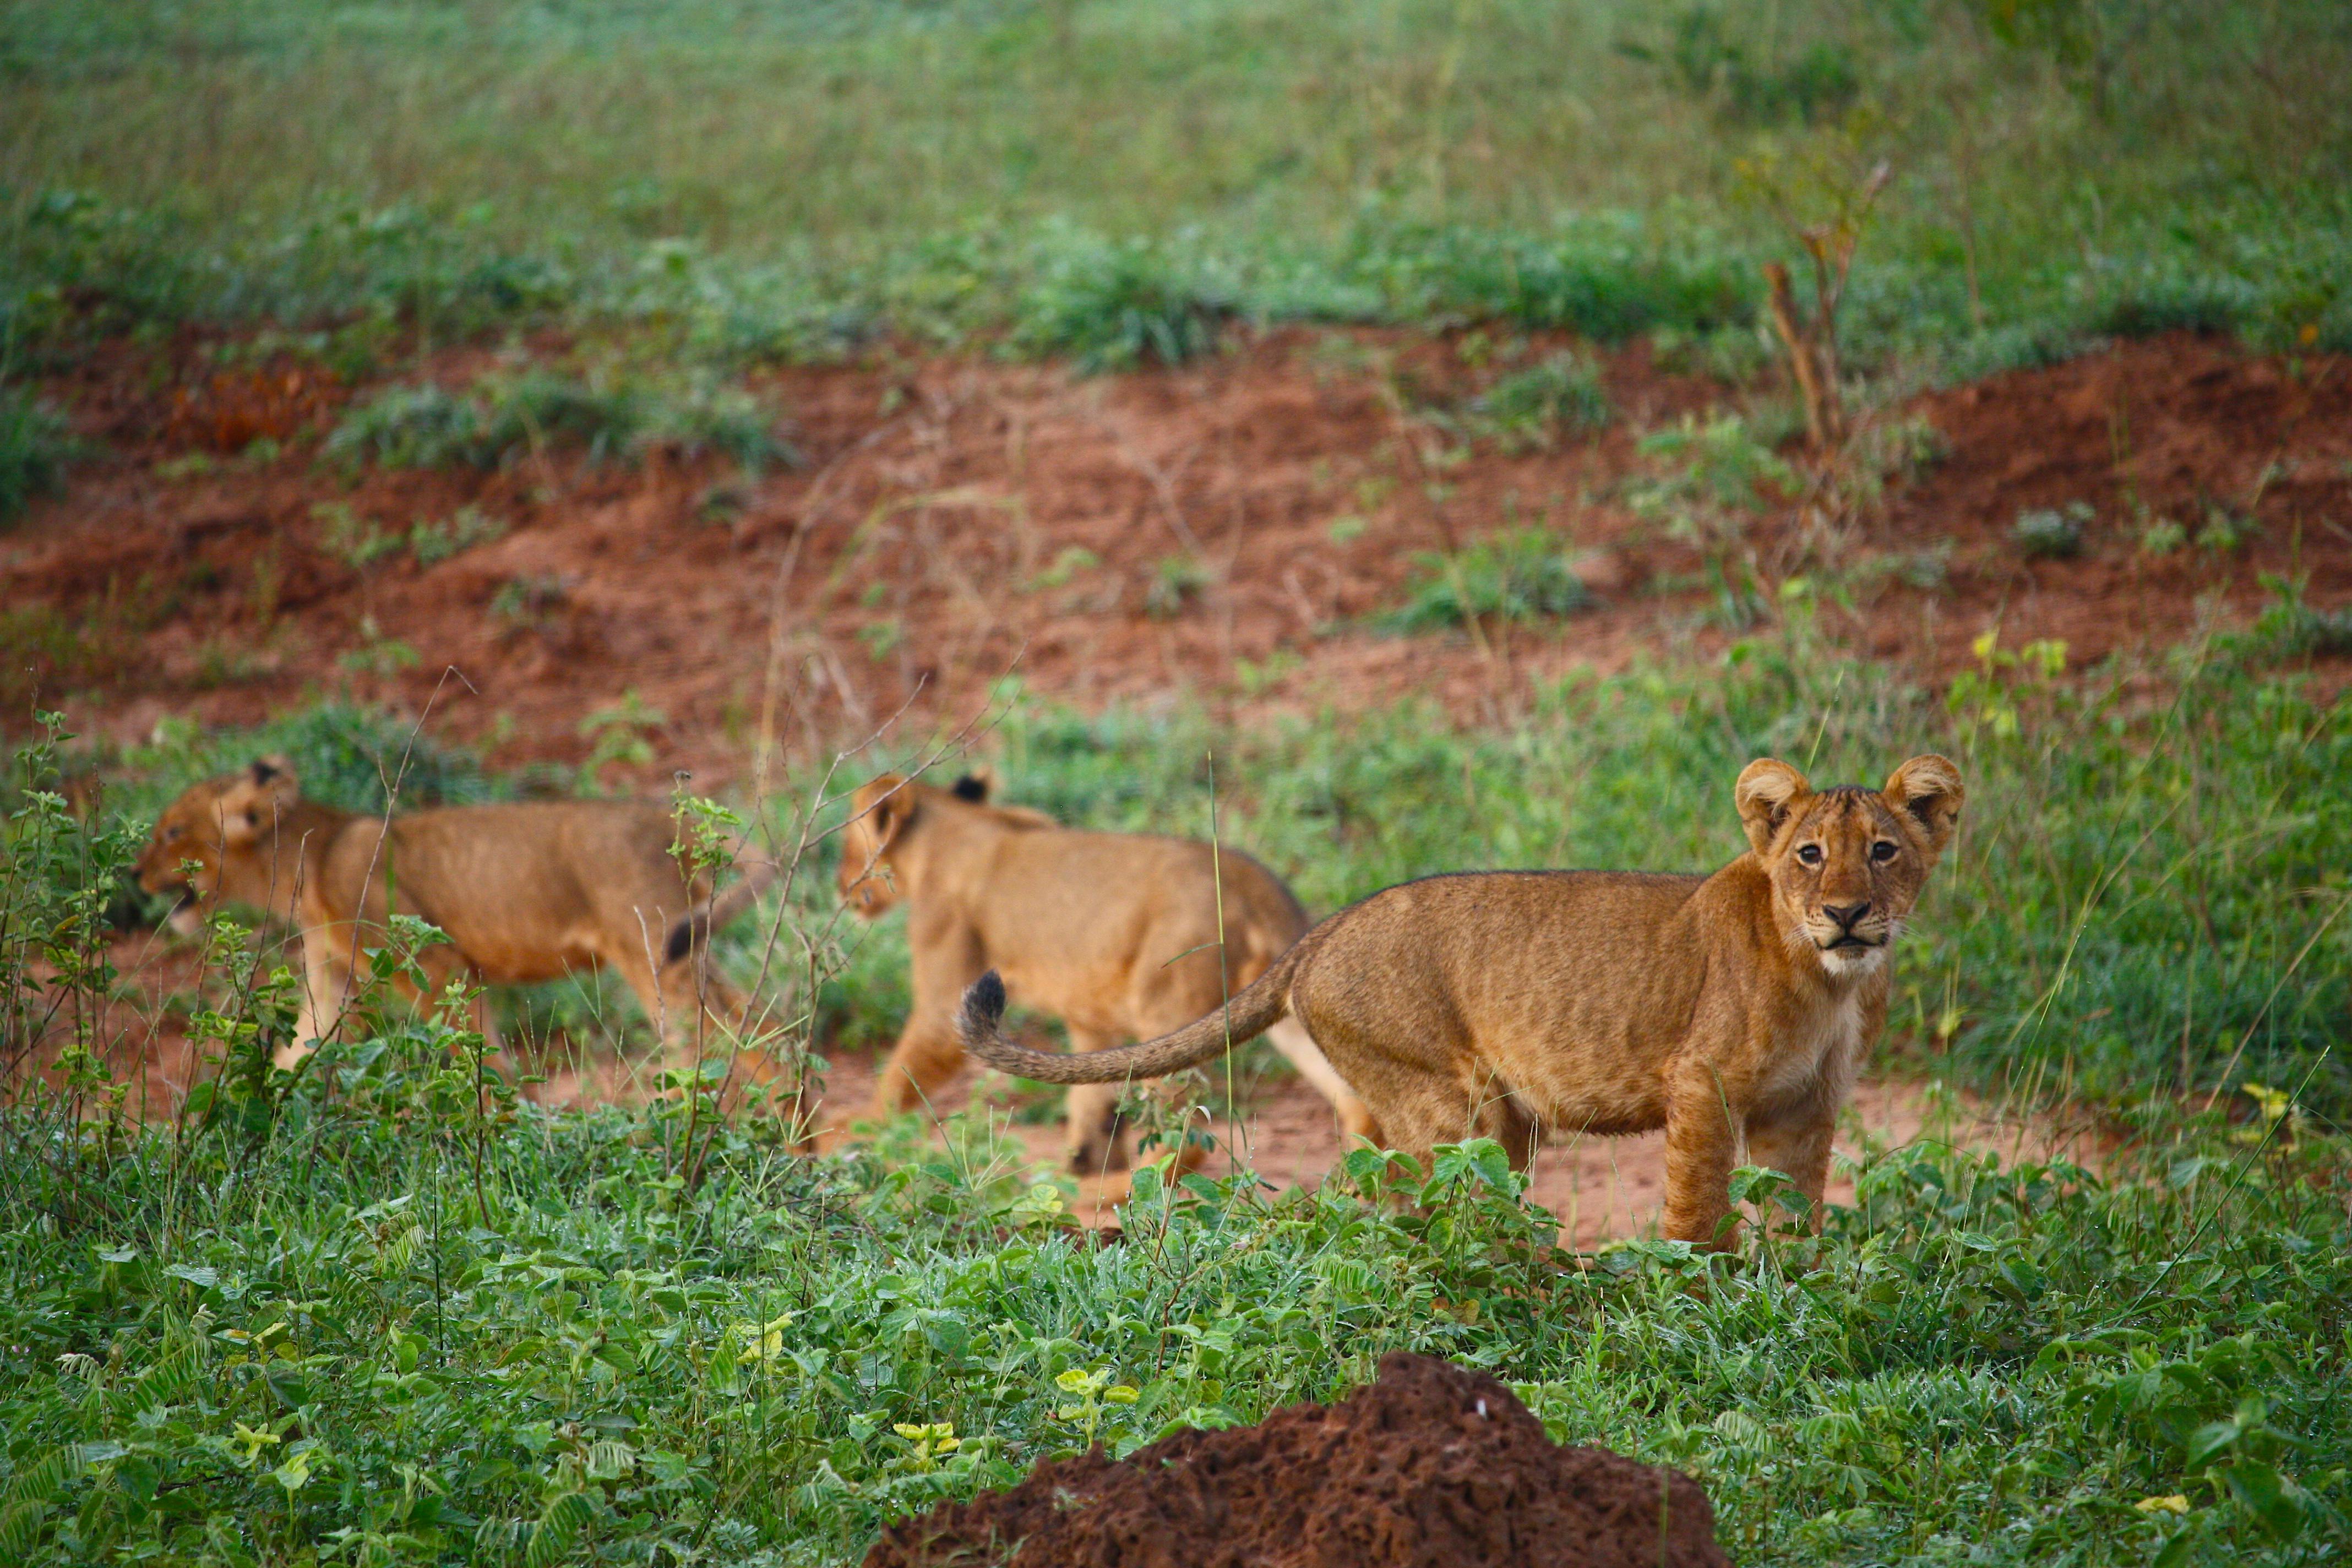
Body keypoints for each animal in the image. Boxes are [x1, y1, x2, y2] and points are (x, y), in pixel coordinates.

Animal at [136, 757, 771, 1081]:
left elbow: (481, 1055)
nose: (134, 874)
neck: (311, 860)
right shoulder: (331, 976)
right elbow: (299, 1050)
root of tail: (672, 821)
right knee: (756, 1022)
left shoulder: (439, 964)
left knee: (703, 1034)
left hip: (653, 952)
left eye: (172, 832)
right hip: (687, 946)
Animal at [672, 770, 1375, 1173]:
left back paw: (1148, 1187)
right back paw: (1370, 1180)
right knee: (1350, 1094)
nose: (846, 887)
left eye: (850, 842)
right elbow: (1090, 1095)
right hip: (1280, 1002)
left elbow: (900, 1076)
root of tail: (1257, 880)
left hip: (1173, 1003)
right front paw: (1085, 1160)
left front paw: (858, 1135)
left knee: (1185, 1127)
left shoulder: (946, 990)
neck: (952, 830)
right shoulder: (1091, 1017)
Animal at [959, 755, 1964, 1246]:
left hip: (1497, 1117)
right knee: (1433, 1211)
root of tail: (1322, 930)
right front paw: (1697, 1293)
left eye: (1882, 851)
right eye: (1808, 854)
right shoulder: (1701, 1088)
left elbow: (1799, 1212)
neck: (1827, 980)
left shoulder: (1805, 1108)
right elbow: (1697, 1206)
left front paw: (1799, 1294)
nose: (1846, 912)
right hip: (1452, 1100)